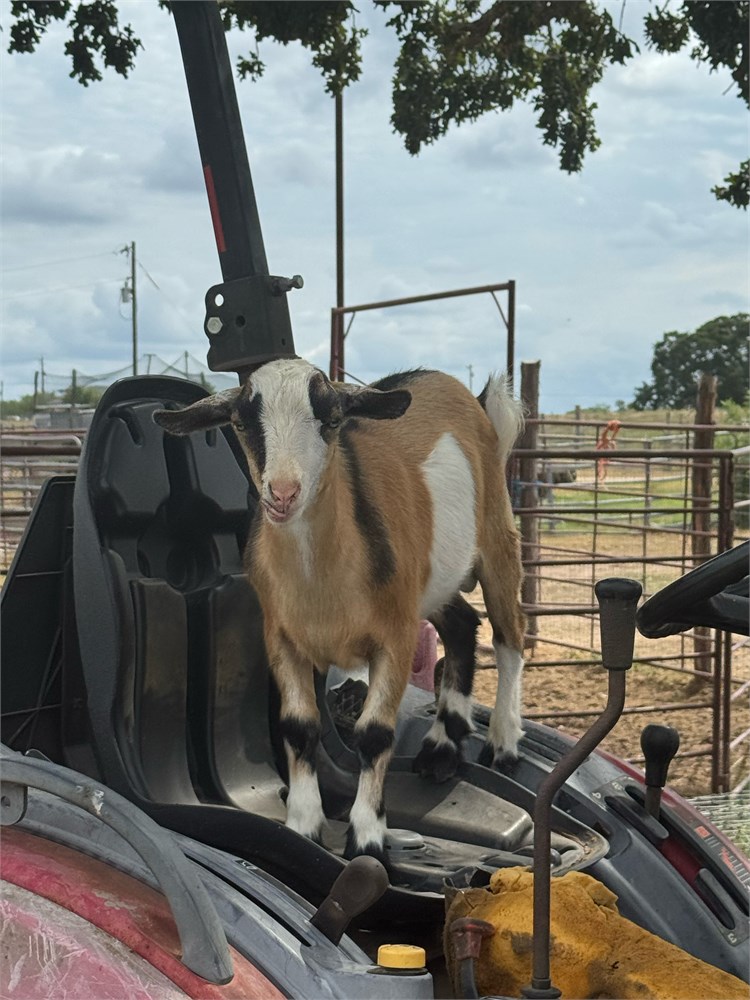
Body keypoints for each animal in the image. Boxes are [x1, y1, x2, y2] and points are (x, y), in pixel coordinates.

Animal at [154, 359, 525, 863]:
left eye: (331, 420)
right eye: (240, 423)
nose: (283, 494)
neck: (324, 584)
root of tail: (473, 398)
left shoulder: (395, 636)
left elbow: (374, 734)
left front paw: (368, 838)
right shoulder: (282, 637)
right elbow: (298, 726)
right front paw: (304, 825)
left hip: (496, 537)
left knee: (510, 640)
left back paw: (504, 744)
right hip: (432, 582)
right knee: (463, 627)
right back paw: (440, 750)